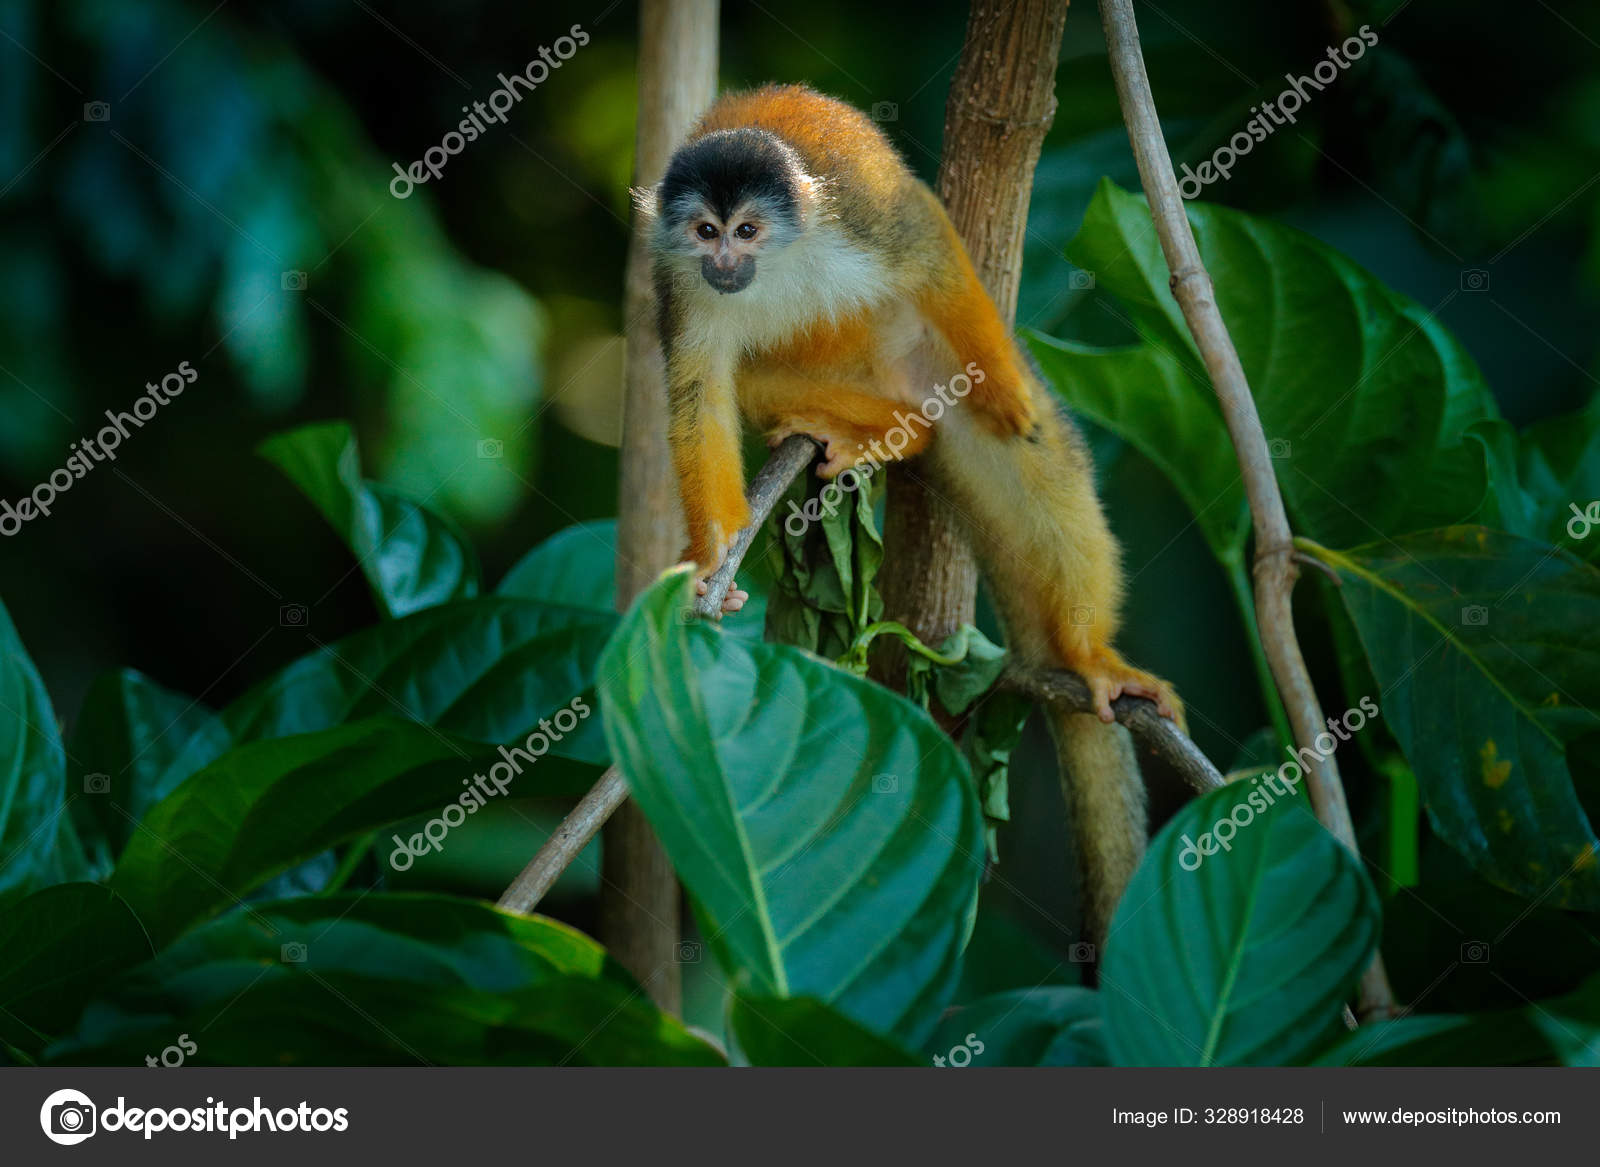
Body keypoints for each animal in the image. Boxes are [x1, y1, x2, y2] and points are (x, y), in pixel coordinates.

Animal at [640, 83, 1182, 941]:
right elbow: (701, 403)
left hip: (927, 351)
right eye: (705, 232)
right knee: (766, 384)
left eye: (747, 231)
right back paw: (879, 429)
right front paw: (710, 566)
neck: (775, 265)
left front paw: (1004, 385)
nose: (725, 262)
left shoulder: (860, 218)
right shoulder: (678, 282)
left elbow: (929, 242)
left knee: (1039, 453)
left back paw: (1088, 653)